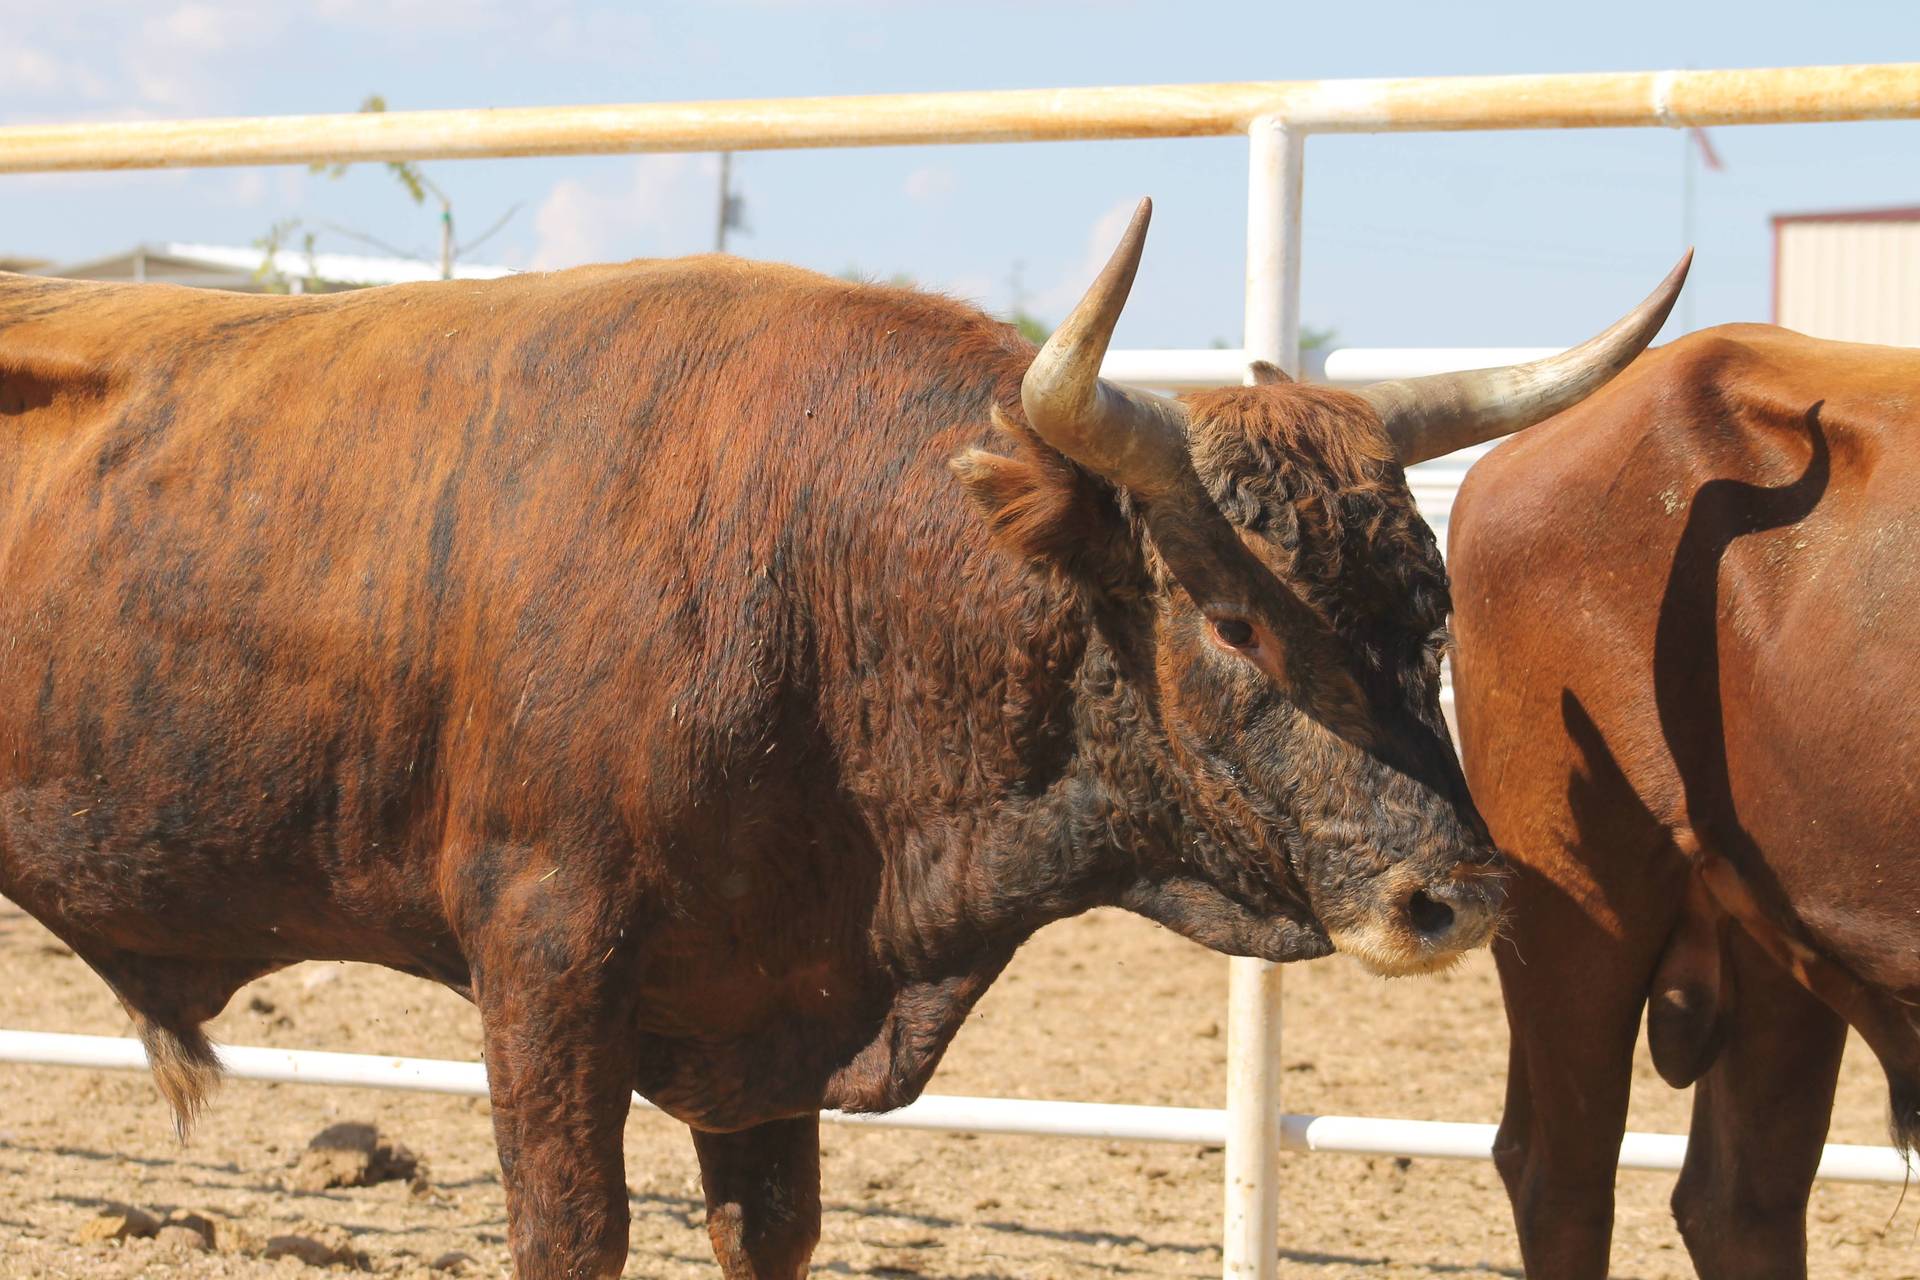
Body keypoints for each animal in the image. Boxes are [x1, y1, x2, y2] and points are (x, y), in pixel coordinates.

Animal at [0, 198, 1682, 1278]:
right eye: (1229, 621)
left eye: (1434, 610)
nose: (1449, 894)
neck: (817, 571)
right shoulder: (544, 959)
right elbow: (572, 1231)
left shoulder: (769, 1019)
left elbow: (770, 1231)